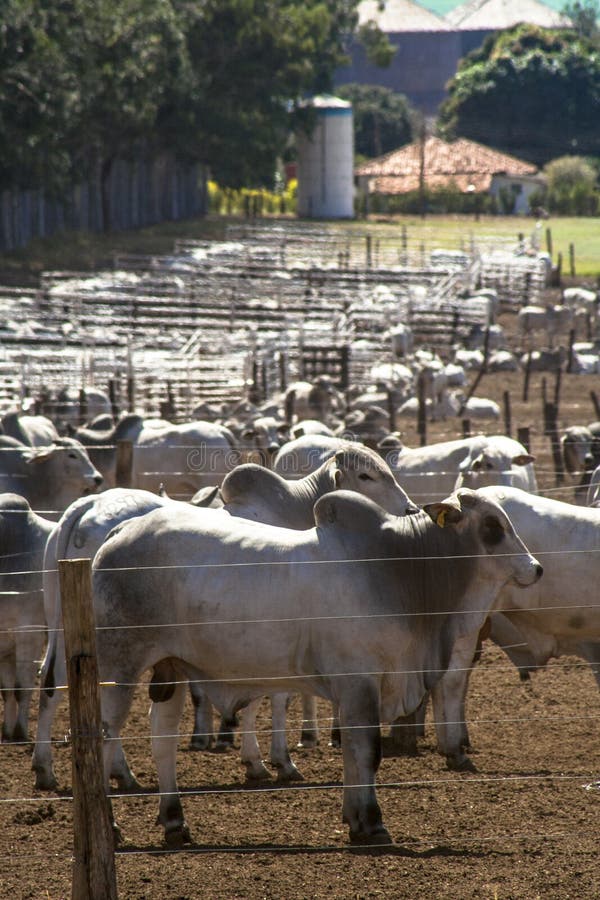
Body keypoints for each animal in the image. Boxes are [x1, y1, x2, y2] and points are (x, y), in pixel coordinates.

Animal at [91, 488, 541, 846]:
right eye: (493, 525)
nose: (535, 568)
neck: (403, 568)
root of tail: (118, 534)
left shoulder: (356, 688)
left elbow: (354, 754)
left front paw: (355, 819)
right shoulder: (361, 682)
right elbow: (368, 751)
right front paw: (373, 824)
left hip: (172, 667)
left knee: (162, 738)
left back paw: (174, 821)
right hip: (119, 665)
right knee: (105, 736)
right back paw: (111, 828)